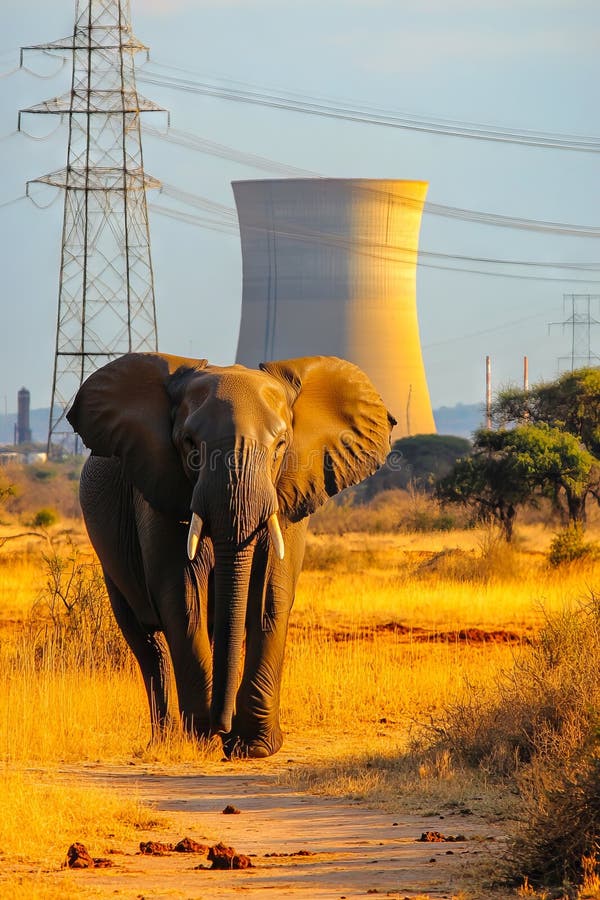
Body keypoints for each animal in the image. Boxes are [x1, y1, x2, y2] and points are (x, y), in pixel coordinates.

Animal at [67, 352, 395, 758]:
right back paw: (166, 742)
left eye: (281, 445)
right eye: (190, 445)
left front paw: (254, 747)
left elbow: (271, 595)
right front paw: (204, 739)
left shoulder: (289, 493)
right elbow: (184, 597)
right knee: (147, 640)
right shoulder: (158, 492)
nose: (224, 729)